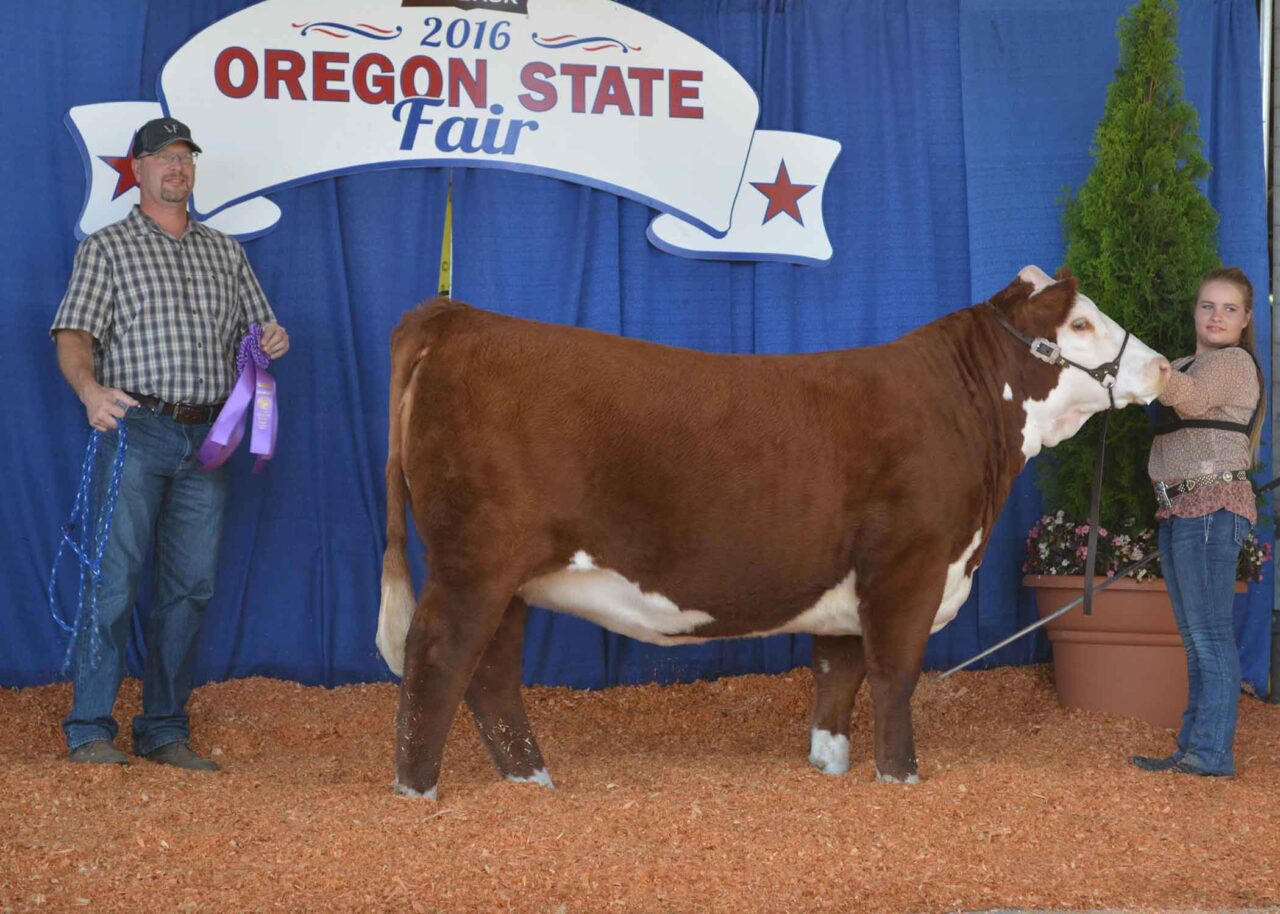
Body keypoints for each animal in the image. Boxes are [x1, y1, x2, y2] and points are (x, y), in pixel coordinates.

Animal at [375, 266, 1164, 800]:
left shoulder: (849, 584)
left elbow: (837, 678)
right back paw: (419, 792)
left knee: (490, 674)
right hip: (475, 559)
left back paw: (531, 782)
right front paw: (901, 779)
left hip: (509, 576)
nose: (1159, 365)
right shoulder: (907, 564)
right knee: (439, 656)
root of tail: (453, 315)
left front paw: (830, 768)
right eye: (1080, 324)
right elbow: (894, 677)